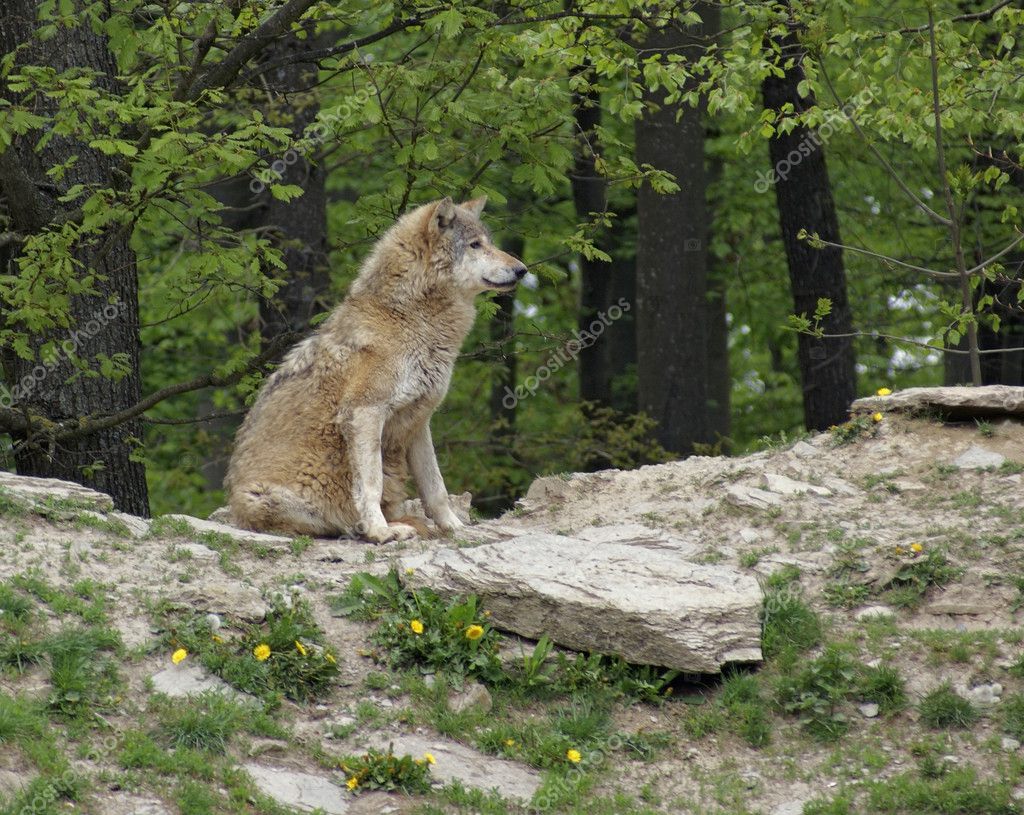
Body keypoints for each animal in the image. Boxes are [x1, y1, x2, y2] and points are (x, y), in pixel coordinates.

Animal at [225, 197, 526, 543]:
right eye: (476, 245)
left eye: (489, 243)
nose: (522, 270)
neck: (411, 321)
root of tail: (236, 514)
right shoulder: (364, 413)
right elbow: (370, 485)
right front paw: (379, 531)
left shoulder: (420, 421)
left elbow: (435, 488)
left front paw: (456, 528)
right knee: (335, 523)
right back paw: (382, 527)